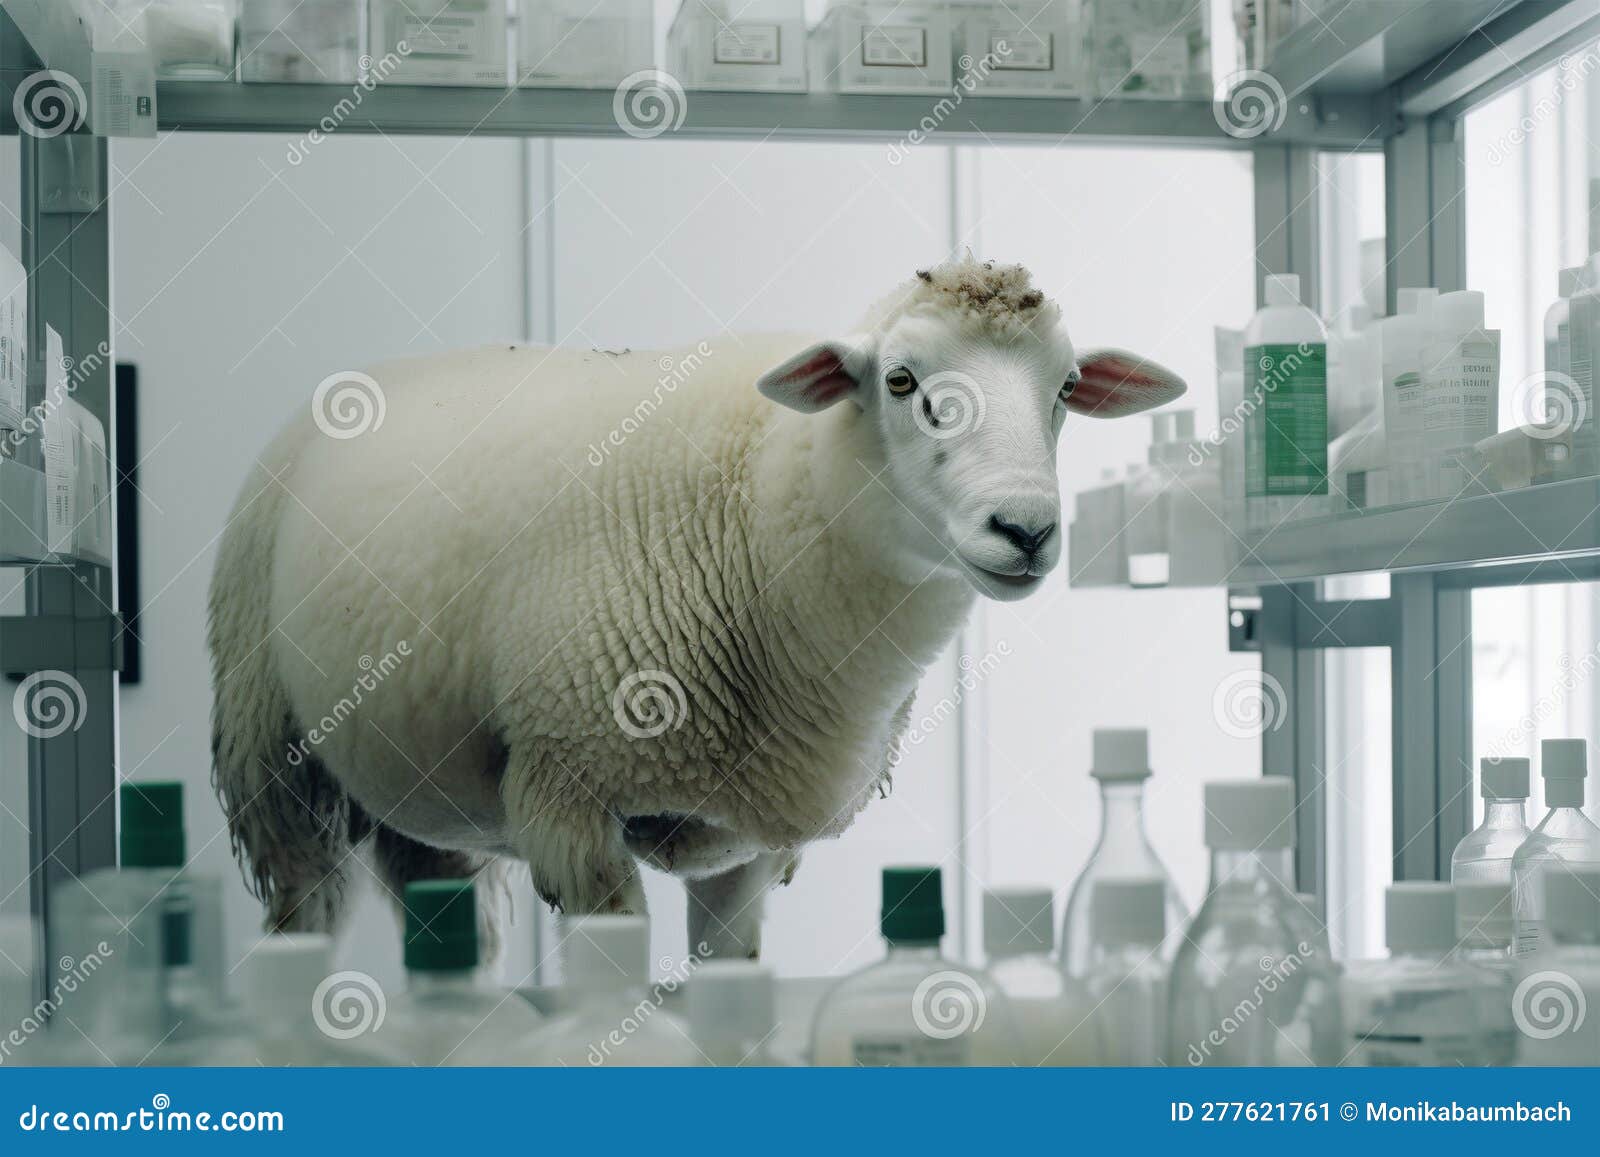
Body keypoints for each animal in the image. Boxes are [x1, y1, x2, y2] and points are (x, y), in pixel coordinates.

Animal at [208, 255, 1185, 960]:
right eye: (902, 382)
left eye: (1066, 389)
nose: (1025, 528)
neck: (760, 504)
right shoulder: (569, 793)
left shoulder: (749, 845)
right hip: (269, 748)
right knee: (302, 905)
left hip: (422, 790)